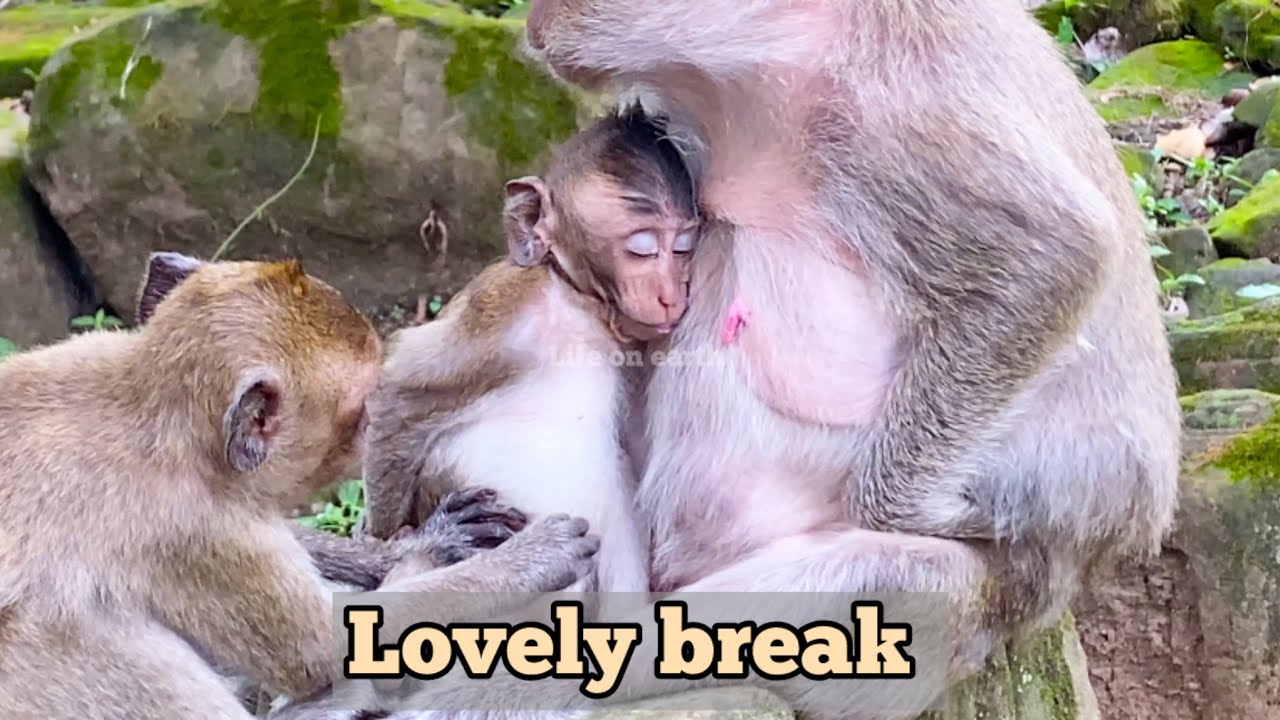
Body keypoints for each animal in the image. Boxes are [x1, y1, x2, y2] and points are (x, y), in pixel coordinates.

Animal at [0, 252, 601, 720]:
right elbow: (327, 645)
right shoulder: (195, 530)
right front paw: (520, 559)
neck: (155, 415)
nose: (372, 428)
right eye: (360, 408)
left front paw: (413, 547)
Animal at [357, 104, 701, 595]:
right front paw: (387, 539)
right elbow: (399, 396)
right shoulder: (503, 309)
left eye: (683, 248)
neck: (576, 308)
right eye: (643, 249)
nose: (672, 294)